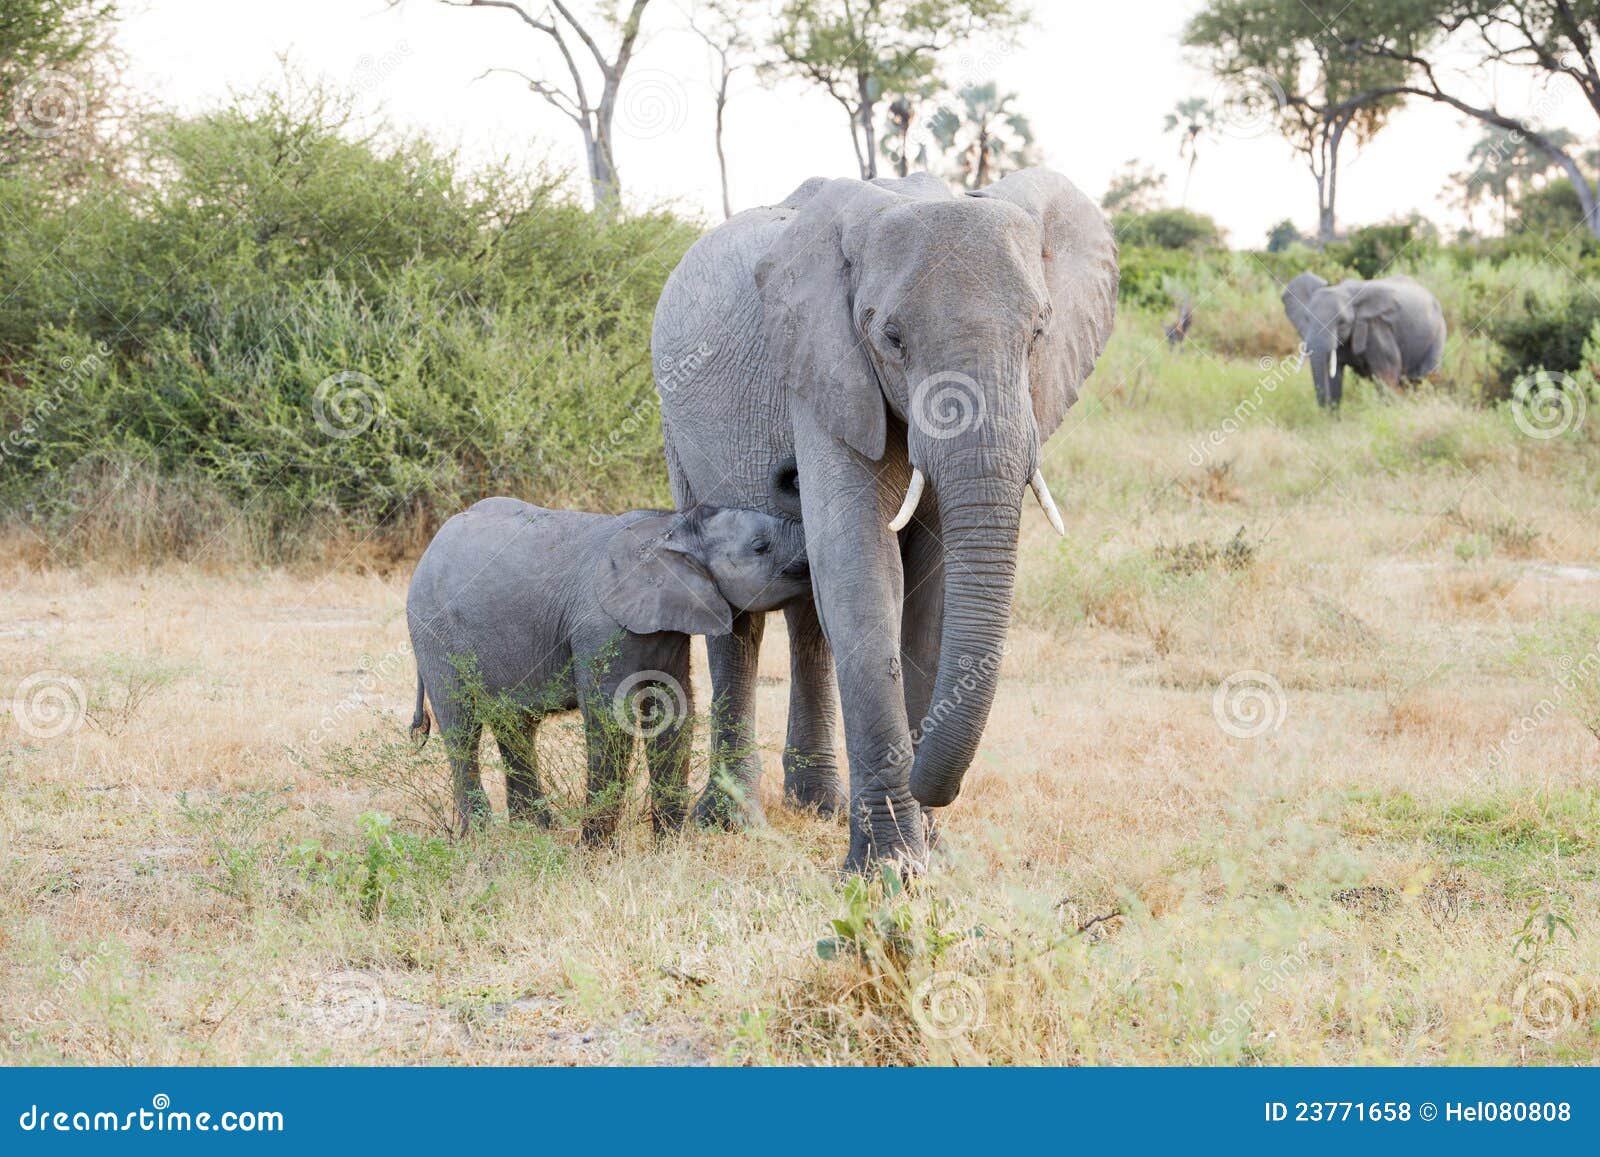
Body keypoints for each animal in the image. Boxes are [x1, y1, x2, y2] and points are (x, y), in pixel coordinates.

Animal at [406, 497, 810, 841]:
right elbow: (611, 718)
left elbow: (673, 711)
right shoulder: (601, 628)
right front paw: (595, 850)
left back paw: (538, 831)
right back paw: (481, 838)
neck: (675, 526)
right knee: (462, 729)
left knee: (516, 728)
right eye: (760, 546)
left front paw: (671, 846)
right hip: (434, 635)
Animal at [651, 167, 1118, 869]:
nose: (784, 475)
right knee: (733, 613)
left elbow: (931, 594)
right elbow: (862, 569)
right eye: (891, 340)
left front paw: (933, 853)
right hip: (676, 425)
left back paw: (819, 805)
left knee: (808, 611)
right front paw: (890, 867)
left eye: (1039, 333)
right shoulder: (824, 367)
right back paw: (732, 822)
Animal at [1281, 273, 1446, 409]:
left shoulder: (1376, 329)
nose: (1324, 411)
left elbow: (1386, 377)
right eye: (1307, 319)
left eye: (1342, 322)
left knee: (1421, 378)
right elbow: (1334, 377)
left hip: (1438, 334)